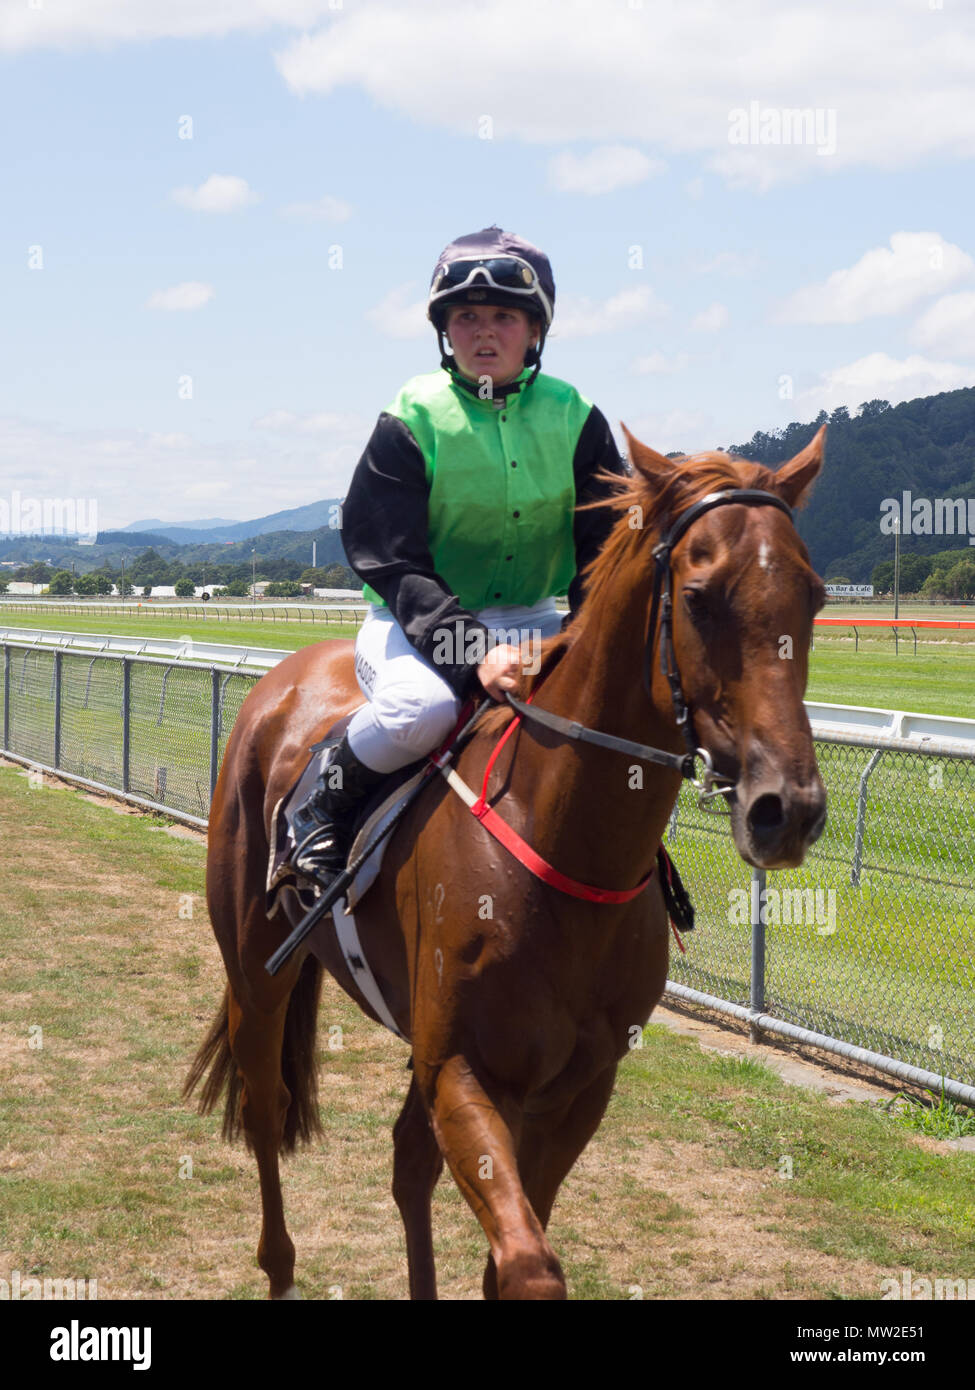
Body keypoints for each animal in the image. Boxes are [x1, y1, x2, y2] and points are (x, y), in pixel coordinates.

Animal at [184, 424, 827, 1300]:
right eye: (698, 596)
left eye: (814, 595)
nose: (786, 808)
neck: (563, 845)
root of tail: (281, 679)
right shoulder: (463, 1068)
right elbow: (527, 1268)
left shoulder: (576, 1090)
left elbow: (506, 1256)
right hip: (256, 970)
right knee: (262, 1104)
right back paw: (278, 1265)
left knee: (405, 1162)